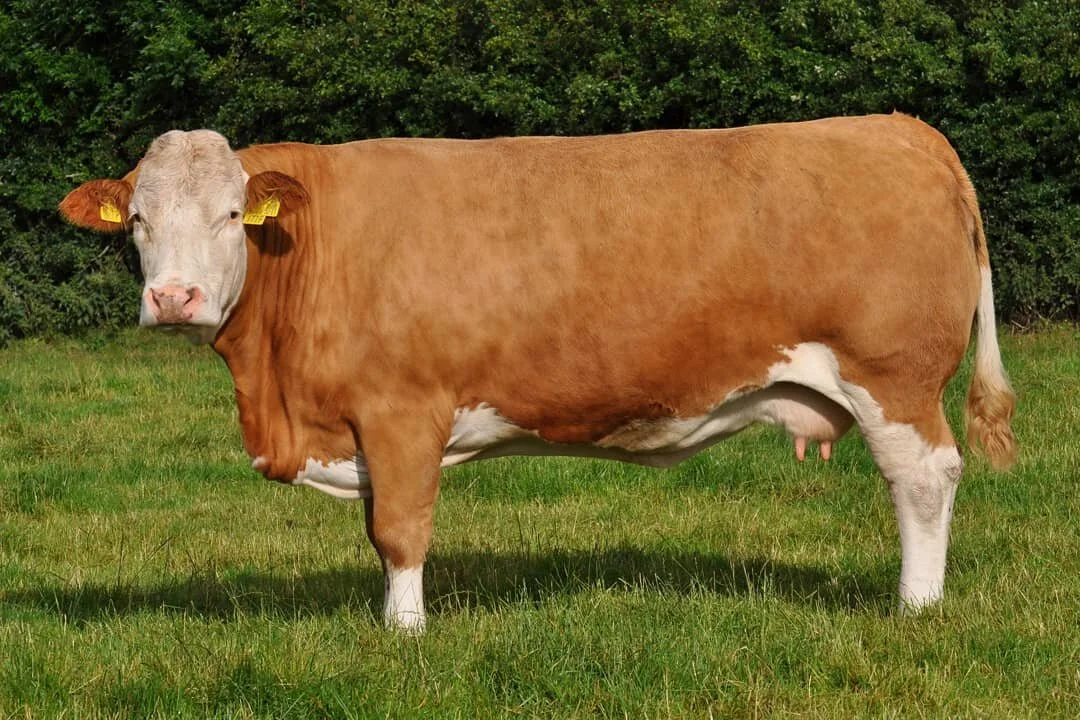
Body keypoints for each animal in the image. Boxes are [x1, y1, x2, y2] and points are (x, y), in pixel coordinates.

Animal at [60, 113, 1017, 632]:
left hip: (894, 376)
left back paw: (917, 606)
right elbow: (379, 528)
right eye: (138, 219)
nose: (175, 299)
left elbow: (400, 530)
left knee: (924, 478)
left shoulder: (403, 409)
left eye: (232, 215)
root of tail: (902, 128)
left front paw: (405, 632)